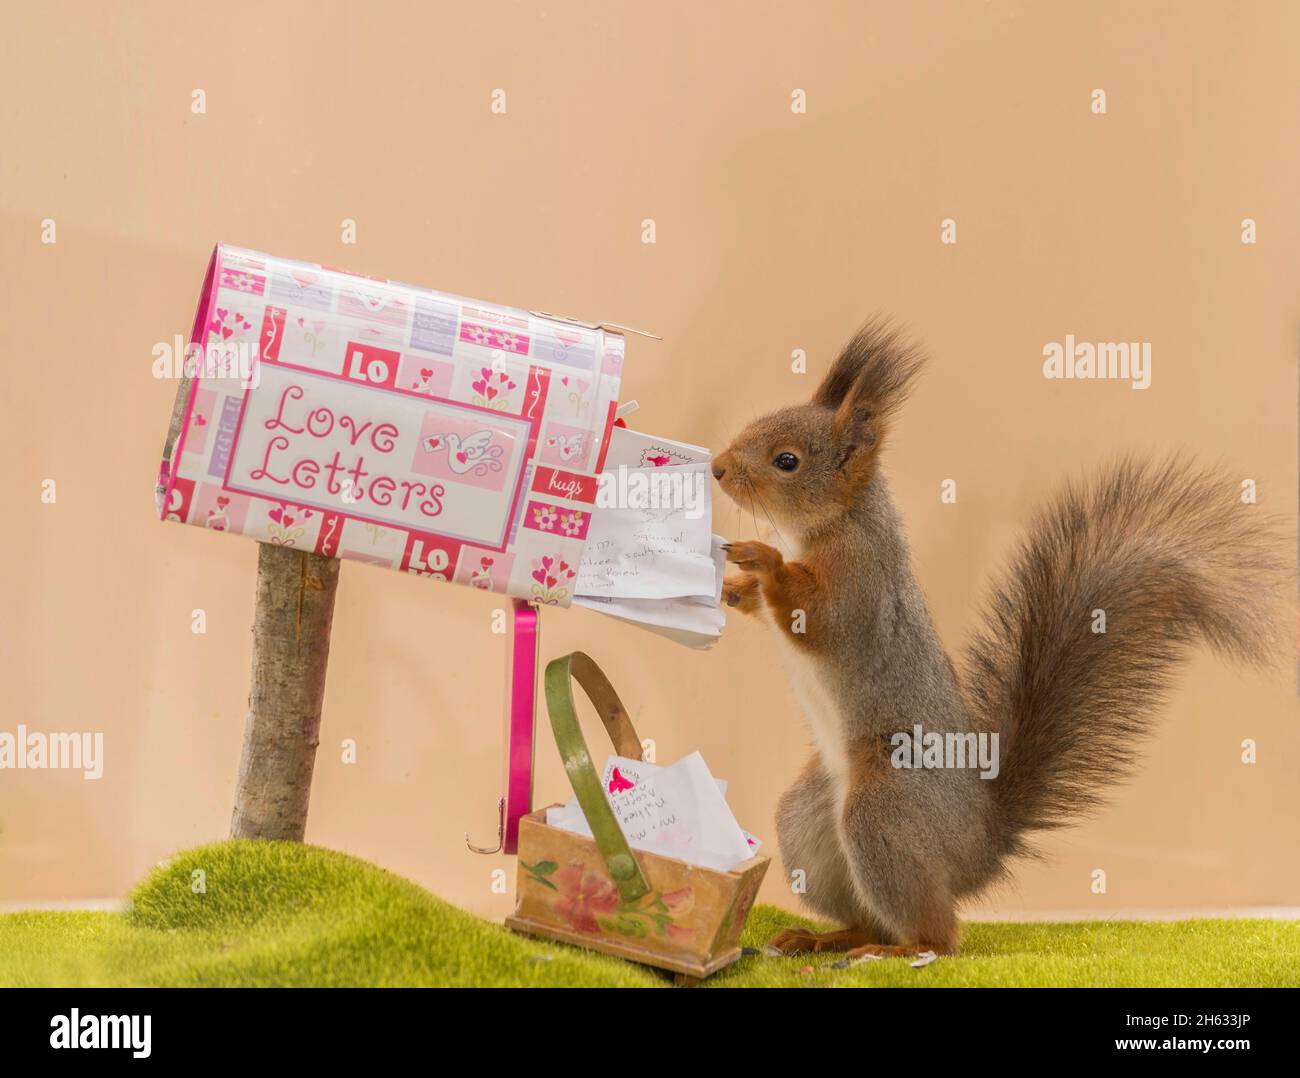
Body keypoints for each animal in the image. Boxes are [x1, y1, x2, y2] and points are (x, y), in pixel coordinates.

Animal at [713, 320, 1286, 959]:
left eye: (786, 460)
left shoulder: (860, 584)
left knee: (939, 935)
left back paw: (894, 952)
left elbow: (817, 617)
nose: (717, 467)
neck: (835, 524)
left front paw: (761, 561)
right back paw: (824, 939)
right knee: (869, 914)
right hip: (808, 822)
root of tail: (976, 849)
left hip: (882, 810)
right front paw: (732, 588)